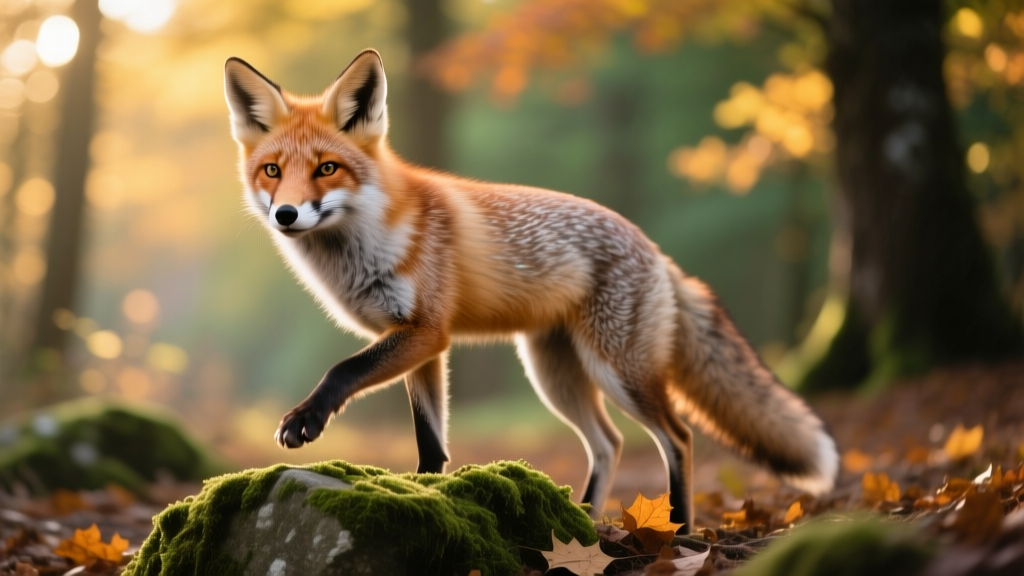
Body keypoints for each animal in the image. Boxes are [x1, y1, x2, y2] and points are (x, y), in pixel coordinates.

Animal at [222, 49, 838, 530]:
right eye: (273, 171)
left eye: (327, 168)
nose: (285, 214)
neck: (363, 245)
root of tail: (657, 251)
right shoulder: (423, 343)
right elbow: (431, 440)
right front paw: (425, 492)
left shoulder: (425, 333)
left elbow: (341, 370)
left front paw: (305, 420)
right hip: (554, 376)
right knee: (609, 443)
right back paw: (585, 522)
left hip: (618, 372)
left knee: (679, 437)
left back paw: (679, 530)